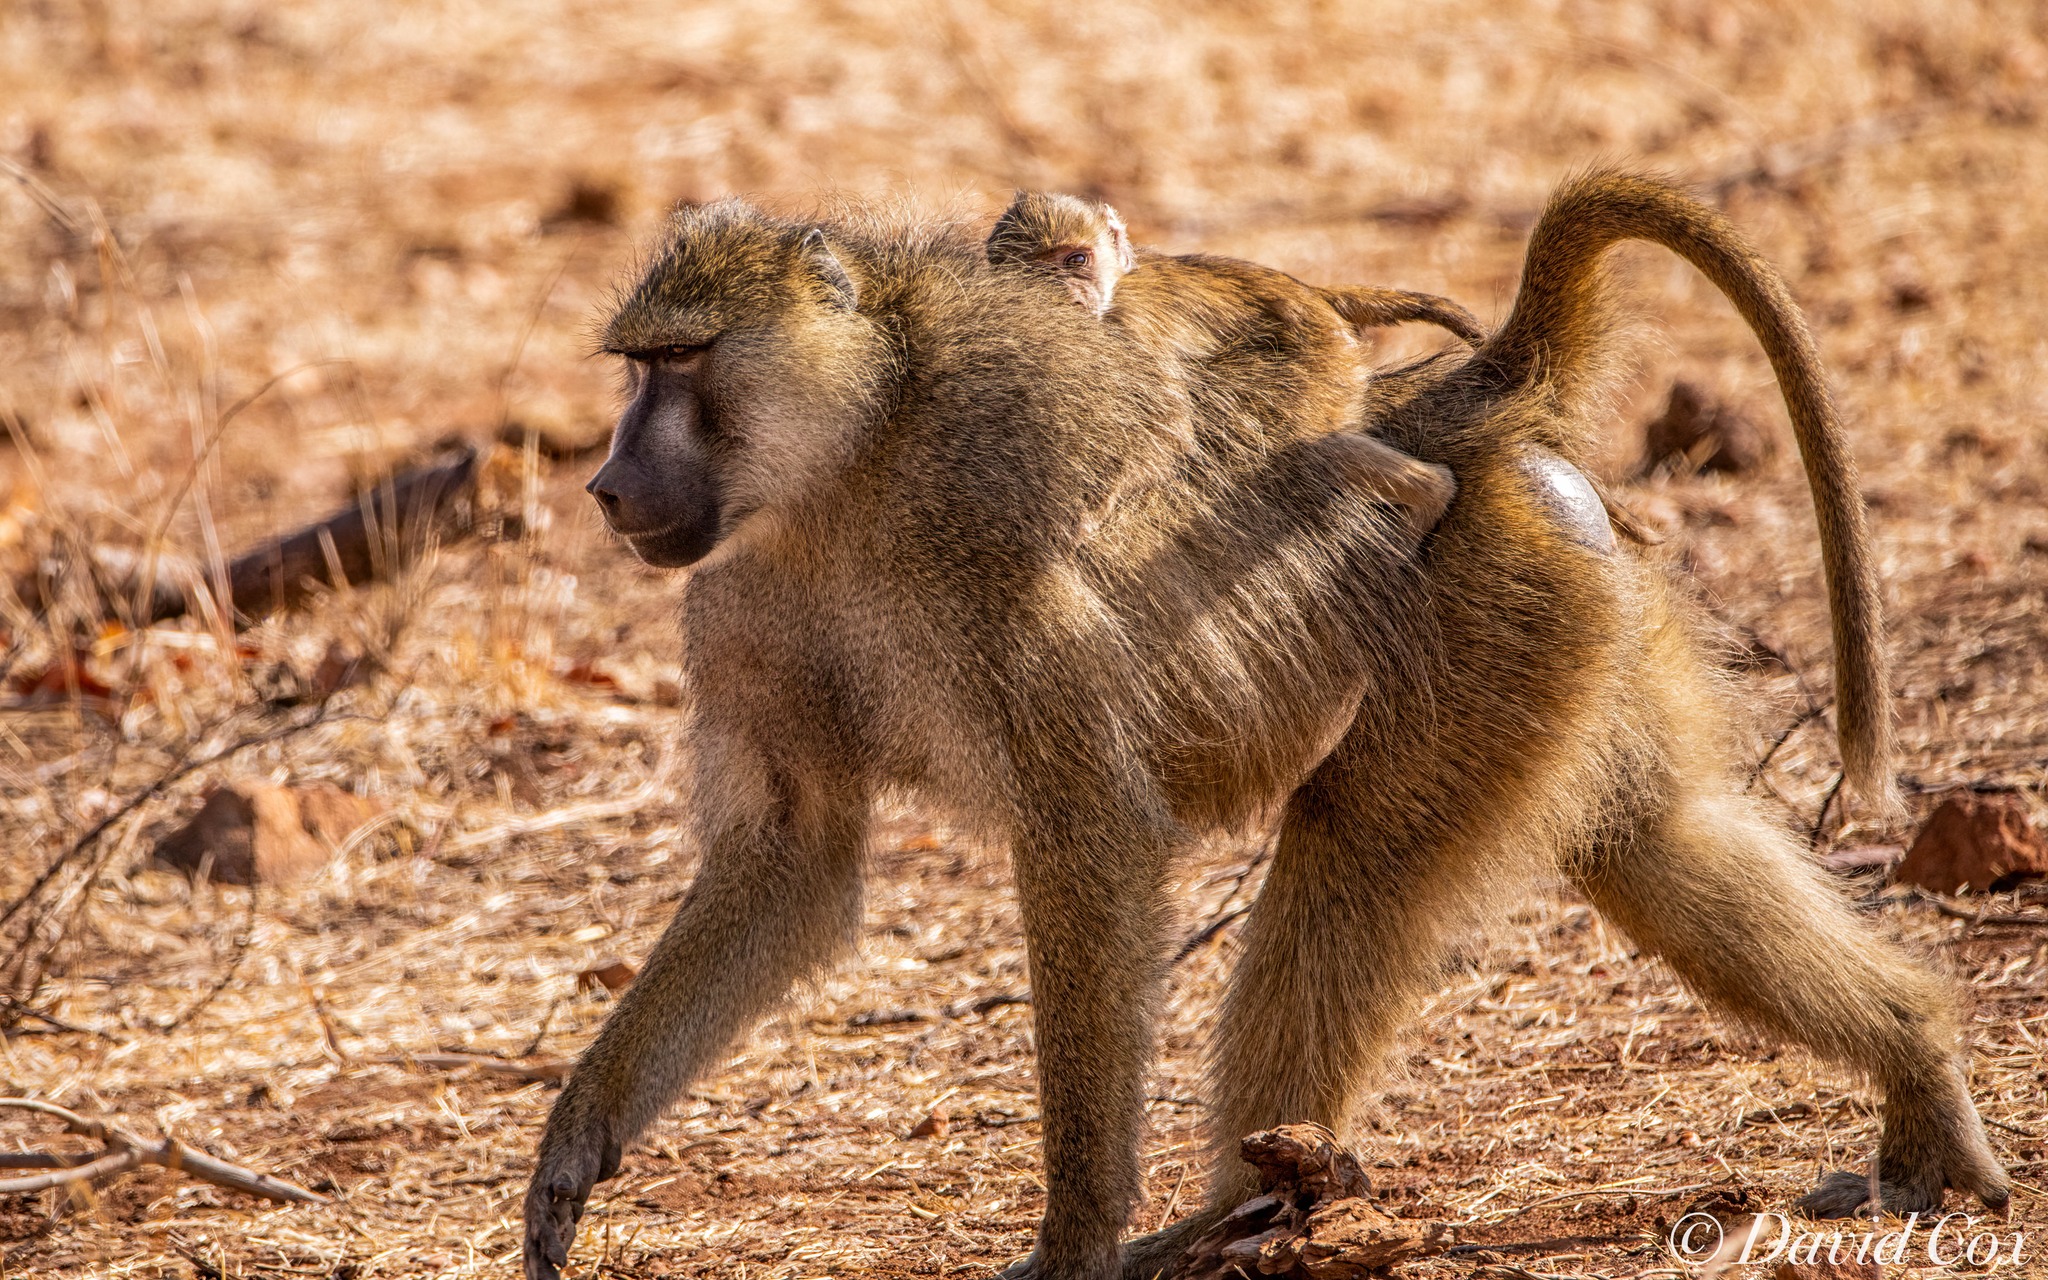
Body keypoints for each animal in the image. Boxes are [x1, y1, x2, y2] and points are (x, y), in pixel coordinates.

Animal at [525, 174, 2006, 1280]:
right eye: (637, 365)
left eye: (681, 362)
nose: (605, 483)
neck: (839, 471)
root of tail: (1461, 409)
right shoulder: (743, 603)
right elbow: (792, 858)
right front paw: (576, 1142)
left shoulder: (985, 517)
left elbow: (1091, 833)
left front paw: (1075, 1234)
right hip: (1569, 597)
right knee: (1651, 842)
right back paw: (1919, 1071)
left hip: (1488, 606)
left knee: (1347, 867)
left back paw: (1248, 1216)